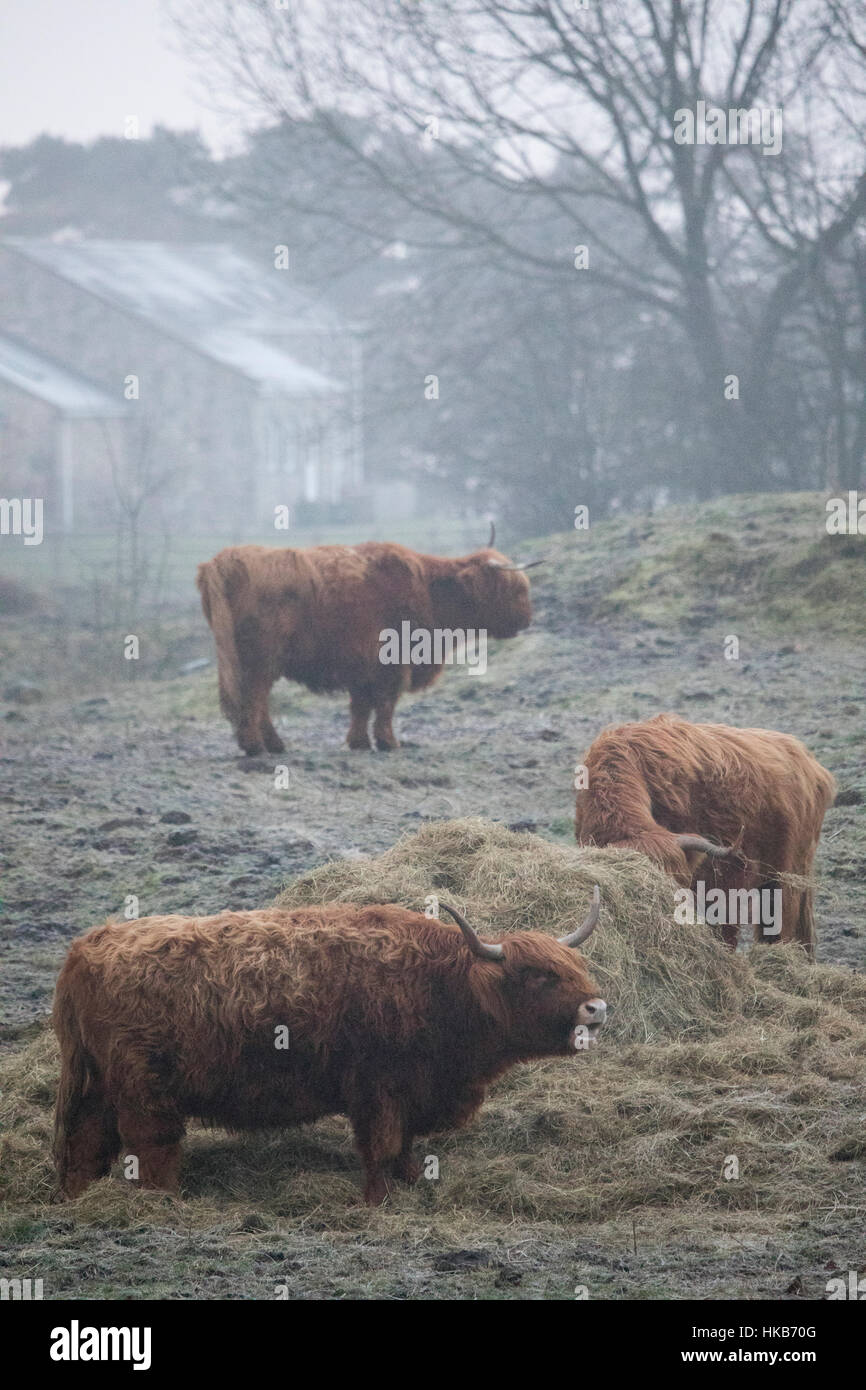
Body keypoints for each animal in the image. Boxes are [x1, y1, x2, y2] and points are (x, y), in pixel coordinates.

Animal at [53, 892, 605, 1205]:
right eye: (537, 975)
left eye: (574, 966)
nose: (597, 1008)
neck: (439, 984)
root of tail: (87, 946)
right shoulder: (378, 1090)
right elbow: (381, 1147)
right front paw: (377, 1203)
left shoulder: (410, 1092)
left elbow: (405, 1145)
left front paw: (411, 1183)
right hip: (144, 1090)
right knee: (151, 1147)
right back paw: (163, 1205)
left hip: (102, 1085)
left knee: (86, 1140)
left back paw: (80, 1199)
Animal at [196, 525, 537, 754]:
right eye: (516, 589)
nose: (526, 620)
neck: (429, 589)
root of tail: (223, 560)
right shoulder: (393, 663)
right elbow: (385, 704)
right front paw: (388, 742)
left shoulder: (362, 666)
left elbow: (360, 705)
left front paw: (359, 742)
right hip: (259, 660)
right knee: (253, 699)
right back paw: (255, 745)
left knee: (258, 701)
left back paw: (274, 744)